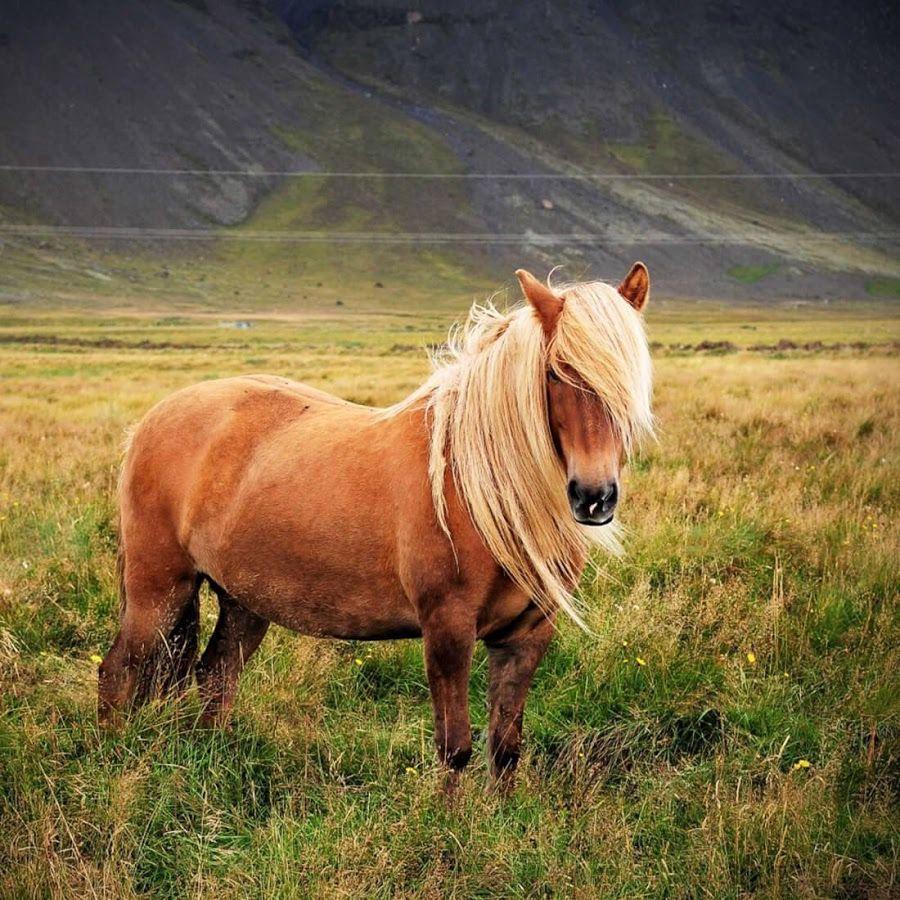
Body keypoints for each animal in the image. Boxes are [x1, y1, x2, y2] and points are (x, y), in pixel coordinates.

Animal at [98, 263, 654, 787]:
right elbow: (456, 749)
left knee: (216, 675)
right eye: (557, 373)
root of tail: (153, 419)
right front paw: (448, 827)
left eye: (634, 376)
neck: (486, 488)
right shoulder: (447, 628)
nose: (594, 496)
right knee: (119, 671)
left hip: (244, 600)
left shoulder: (527, 636)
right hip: (158, 590)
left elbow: (504, 748)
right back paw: (113, 760)